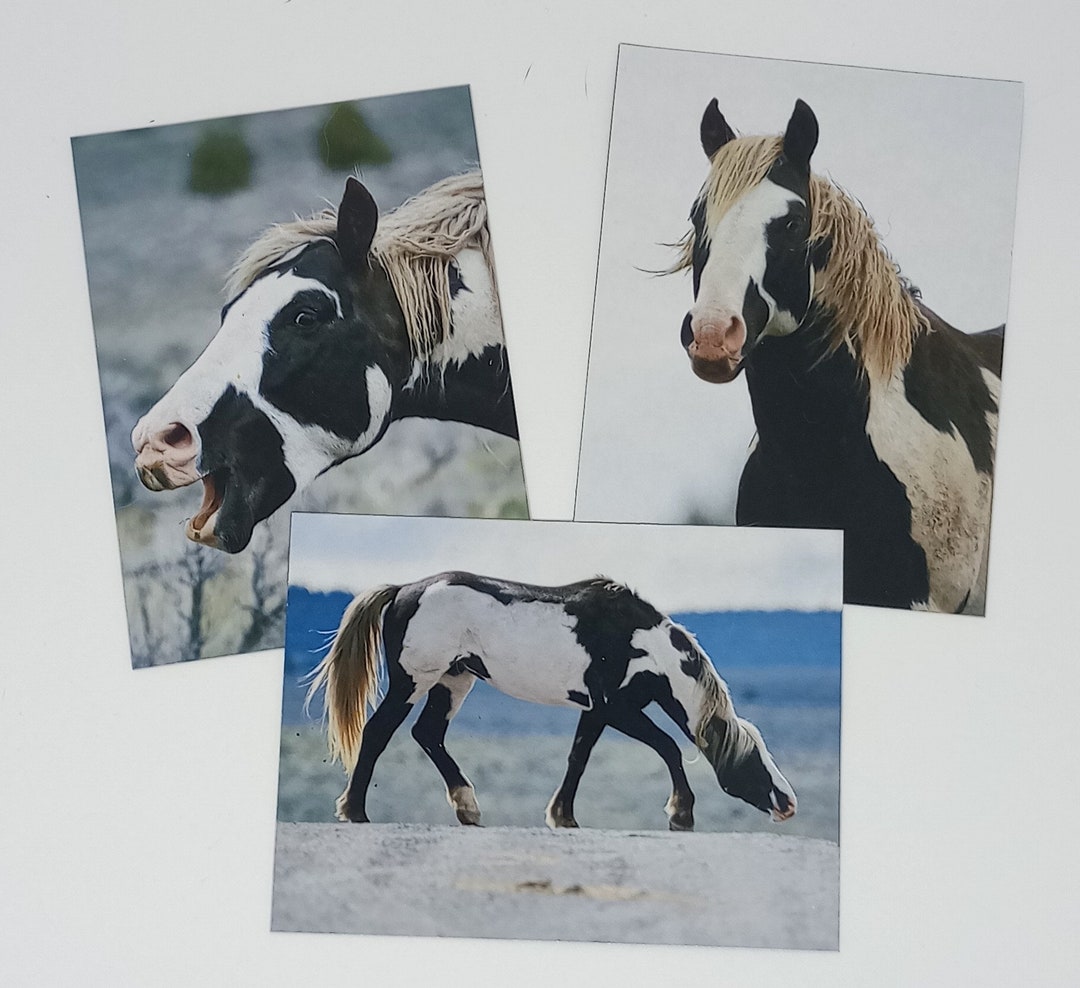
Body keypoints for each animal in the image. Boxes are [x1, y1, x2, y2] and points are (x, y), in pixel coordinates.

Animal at [305, 570, 797, 831]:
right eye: (752, 760)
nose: (788, 803)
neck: (640, 642)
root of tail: (404, 588)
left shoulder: (596, 711)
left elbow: (577, 758)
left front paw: (563, 817)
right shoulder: (618, 709)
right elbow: (670, 748)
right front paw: (681, 813)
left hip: (453, 681)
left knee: (427, 735)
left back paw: (468, 807)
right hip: (414, 681)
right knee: (377, 732)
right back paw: (355, 811)